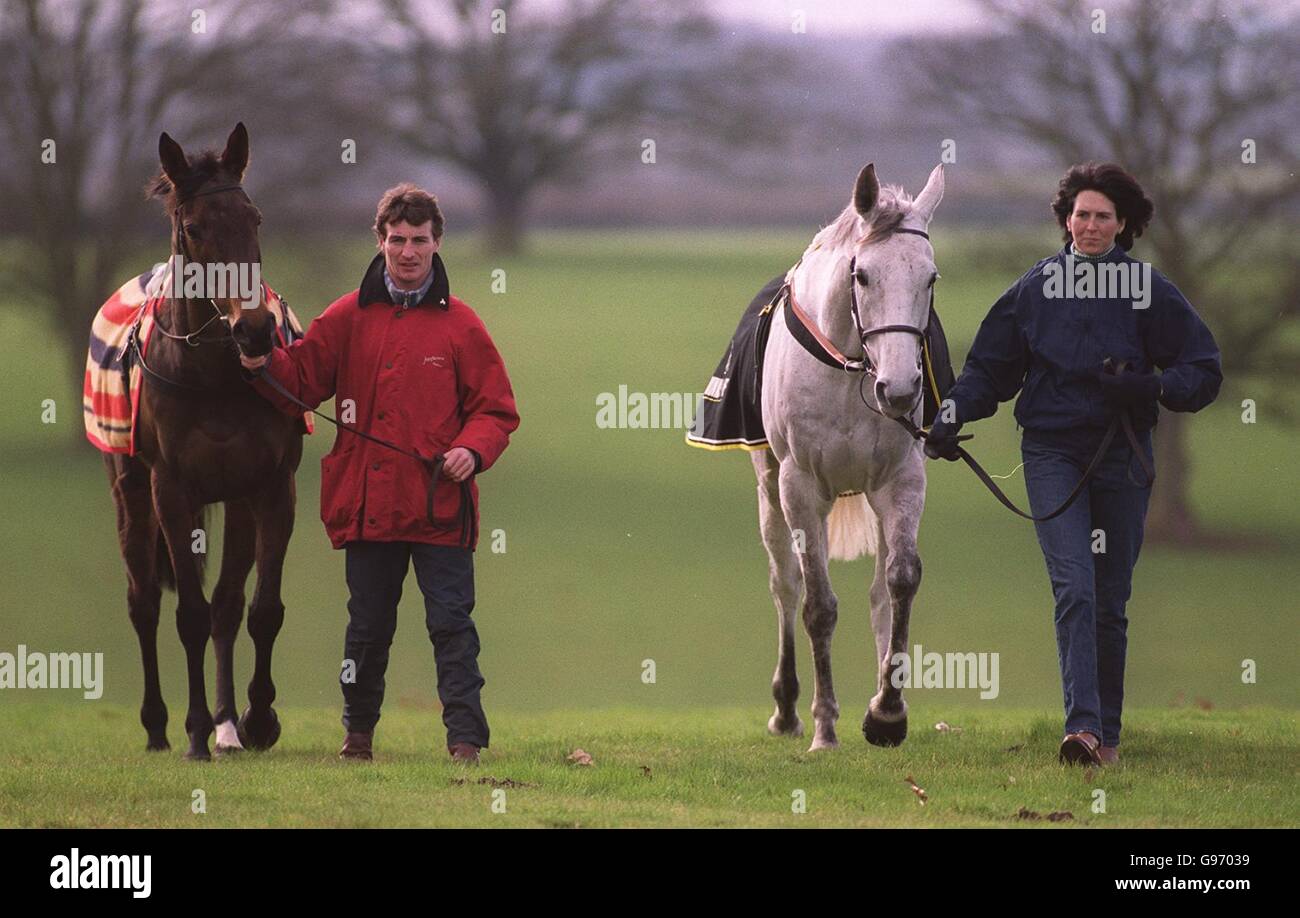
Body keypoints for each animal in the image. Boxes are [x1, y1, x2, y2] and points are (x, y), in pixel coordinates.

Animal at [100, 123, 301, 759]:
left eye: (254, 217)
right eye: (194, 228)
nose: (256, 329)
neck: (213, 373)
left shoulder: (270, 485)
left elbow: (259, 610)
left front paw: (257, 720)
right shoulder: (172, 487)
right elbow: (186, 612)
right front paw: (193, 732)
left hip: (234, 500)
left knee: (227, 607)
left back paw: (229, 725)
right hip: (129, 487)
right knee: (142, 601)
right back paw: (158, 725)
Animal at [754, 162, 944, 751]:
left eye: (930, 278)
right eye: (863, 277)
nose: (900, 390)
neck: (847, 367)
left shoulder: (901, 480)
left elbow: (900, 581)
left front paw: (887, 713)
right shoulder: (800, 487)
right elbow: (817, 605)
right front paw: (824, 728)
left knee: (881, 591)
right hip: (770, 490)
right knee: (785, 584)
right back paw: (786, 709)